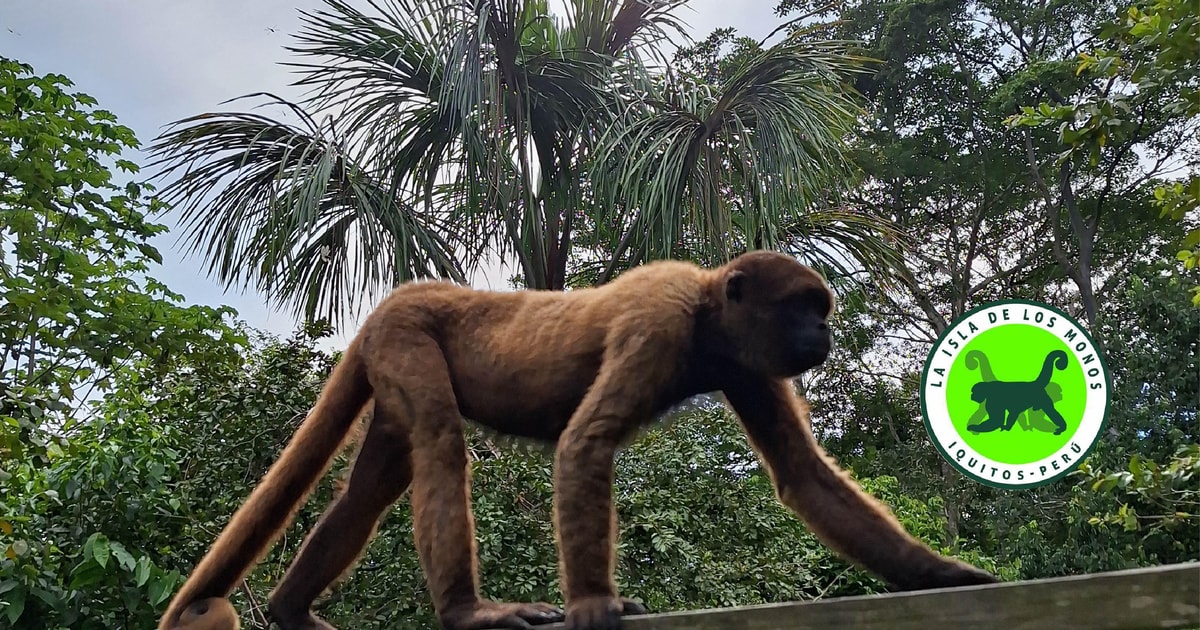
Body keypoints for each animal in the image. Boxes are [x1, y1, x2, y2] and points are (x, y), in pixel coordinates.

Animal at [158, 251, 998, 630]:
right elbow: (584, 446)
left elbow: (801, 475)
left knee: (376, 483)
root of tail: (391, 304)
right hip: (407, 342)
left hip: (391, 371)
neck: (706, 313)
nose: (823, 335)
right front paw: (594, 601)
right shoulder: (656, 327)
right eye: (802, 309)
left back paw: (290, 608)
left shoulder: (748, 365)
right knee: (439, 443)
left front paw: (939, 573)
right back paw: (467, 611)